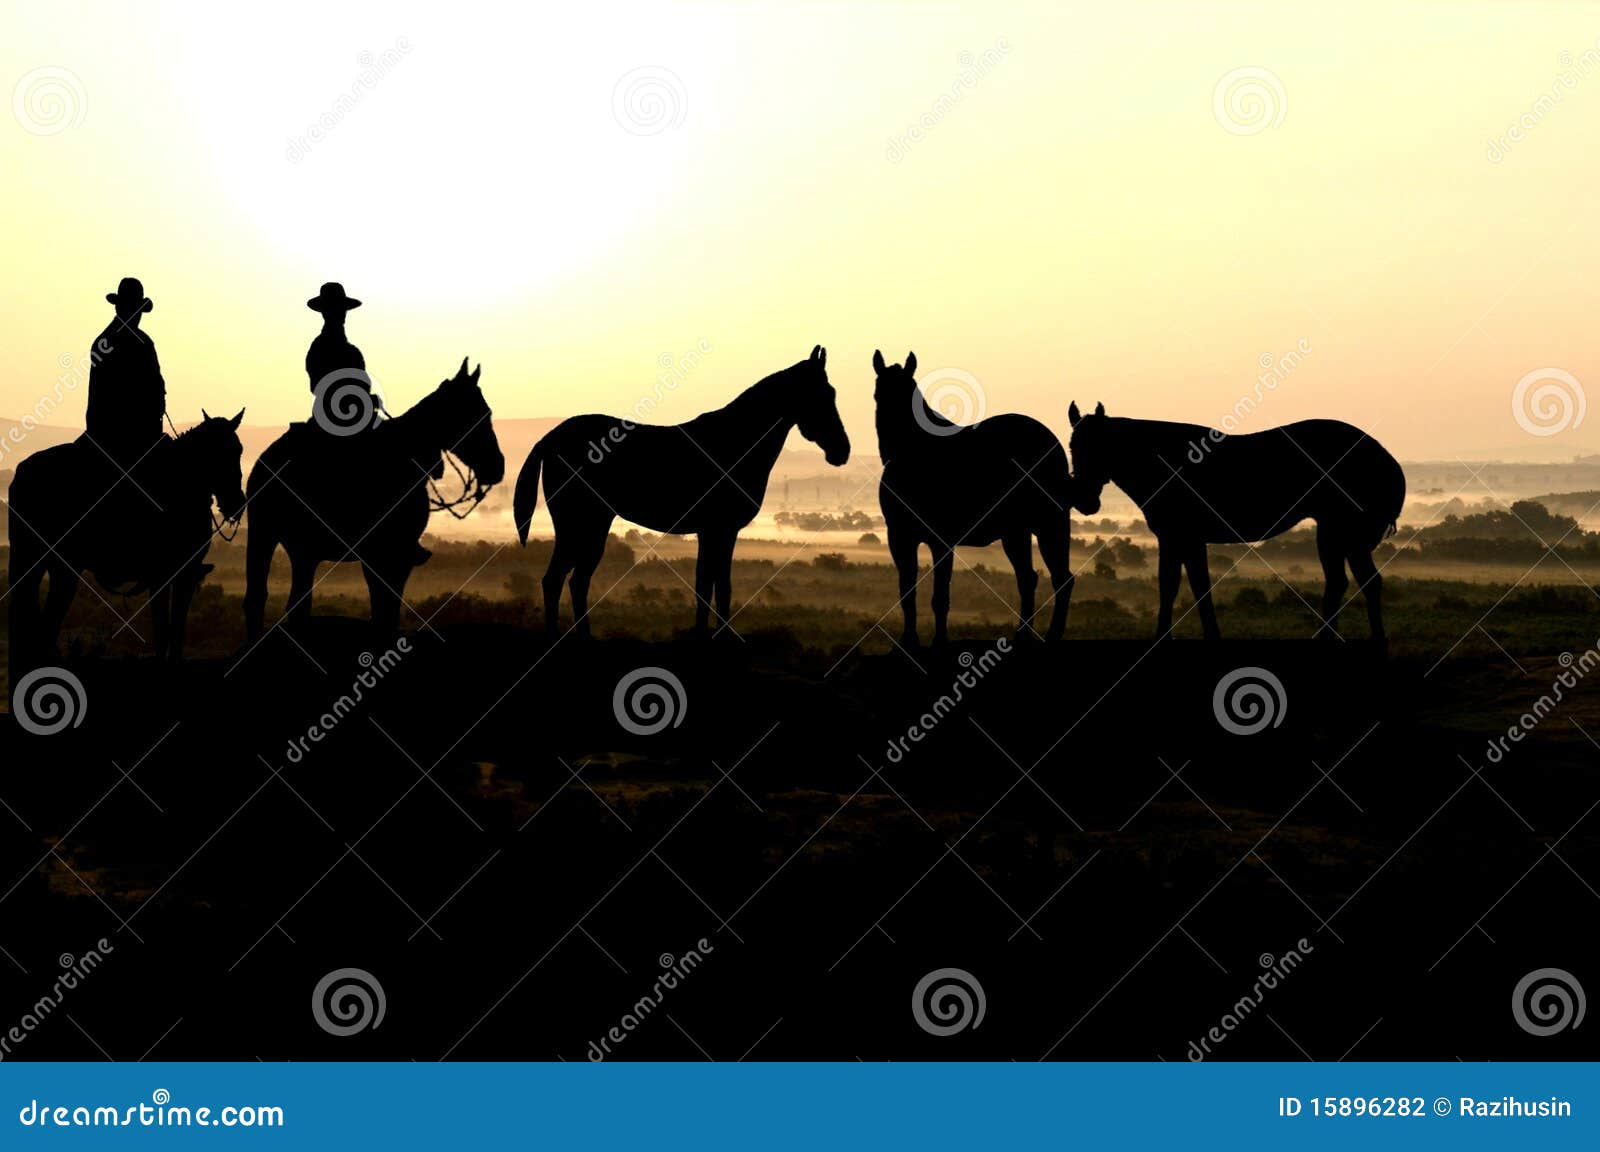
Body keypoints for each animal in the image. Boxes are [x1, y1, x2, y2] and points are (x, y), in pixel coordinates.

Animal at [7, 409, 248, 664]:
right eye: (221, 452)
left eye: (239, 450)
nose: (237, 503)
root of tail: (21, 472)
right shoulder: (170, 575)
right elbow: (166, 631)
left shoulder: (178, 575)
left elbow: (172, 631)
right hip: (62, 567)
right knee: (45, 627)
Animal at [244, 358, 505, 639]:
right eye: (475, 414)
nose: (497, 466)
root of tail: (263, 462)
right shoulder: (386, 555)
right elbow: (384, 612)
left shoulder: (393, 557)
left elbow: (385, 610)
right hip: (265, 534)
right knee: (262, 598)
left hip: (301, 548)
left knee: (292, 603)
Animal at [514, 345, 850, 636]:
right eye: (819, 395)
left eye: (833, 394)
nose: (842, 451)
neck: (736, 443)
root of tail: (550, 439)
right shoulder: (720, 529)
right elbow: (716, 585)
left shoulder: (715, 532)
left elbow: (709, 584)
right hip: (579, 525)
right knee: (557, 579)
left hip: (591, 527)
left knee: (574, 581)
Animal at [872, 351, 1075, 645]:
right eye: (878, 394)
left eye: (909, 396)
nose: (890, 449)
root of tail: (1054, 446)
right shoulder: (899, 536)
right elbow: (906, 590)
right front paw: (908, 639)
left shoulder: (940, 539)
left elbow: (940, 596)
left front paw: (939, 641)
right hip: (1016, 532)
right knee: (1028, 578)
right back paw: (1023, 635)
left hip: (1049, 523)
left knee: (1061, 578)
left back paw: (1051, 636)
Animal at [1066, 402, 1405, 646]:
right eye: (1072, 447)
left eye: (1099, 447)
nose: (1084, 501)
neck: (1165, 464)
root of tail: (1385, 458)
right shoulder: (1181, 539)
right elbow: (1187, 585)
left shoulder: (1181, 537)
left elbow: (1180, 586)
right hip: (1335, 533)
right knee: (1344, 582)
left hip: (1342, 532)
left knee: (1359, 582)